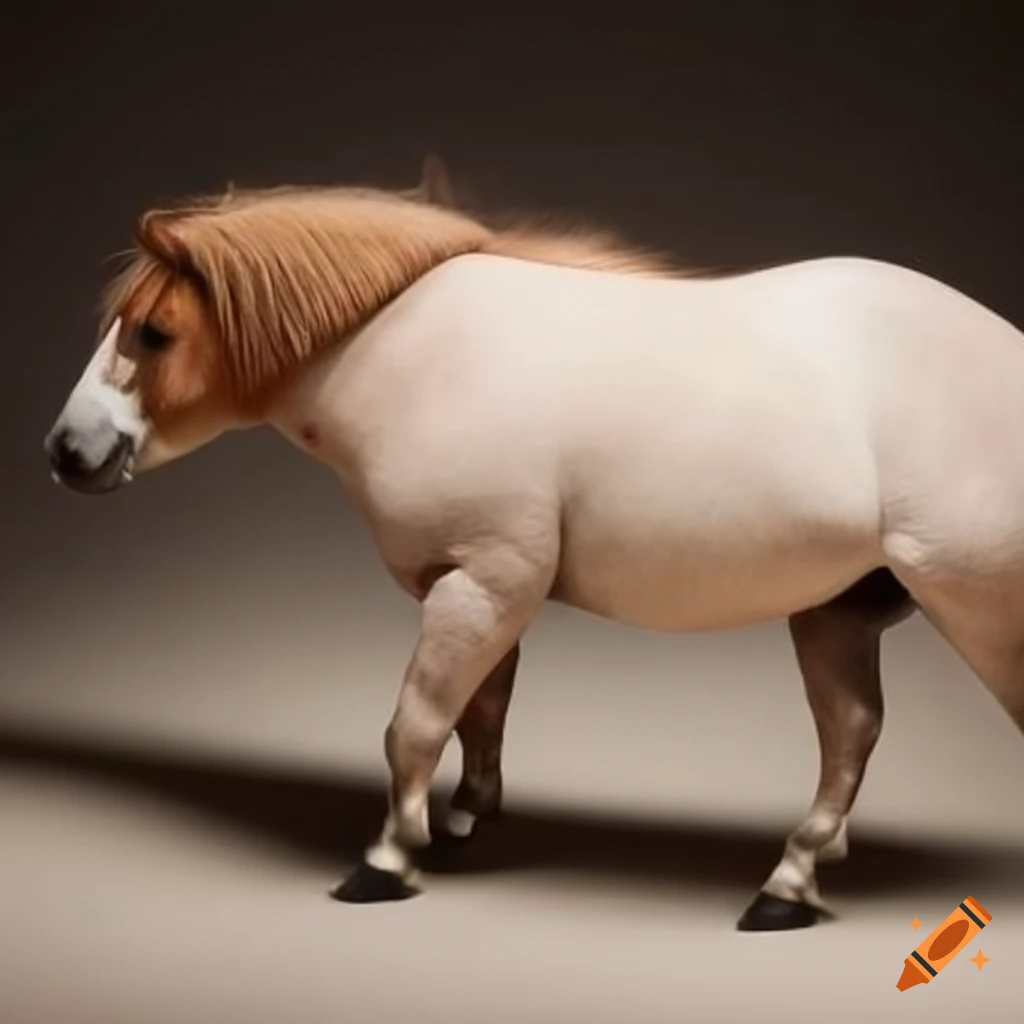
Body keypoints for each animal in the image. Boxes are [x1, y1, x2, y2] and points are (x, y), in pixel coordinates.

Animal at [43, 155, 1024, 932]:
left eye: (155, 332)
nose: (68, 452)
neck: (413, 354)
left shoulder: (483, 581)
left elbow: (415, 723)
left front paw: (386, 862)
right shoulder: (482, 588)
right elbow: (479, 713)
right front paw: (461, 822)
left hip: (977, 611)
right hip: (835, 614)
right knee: (851, 734)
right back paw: (791, 883)